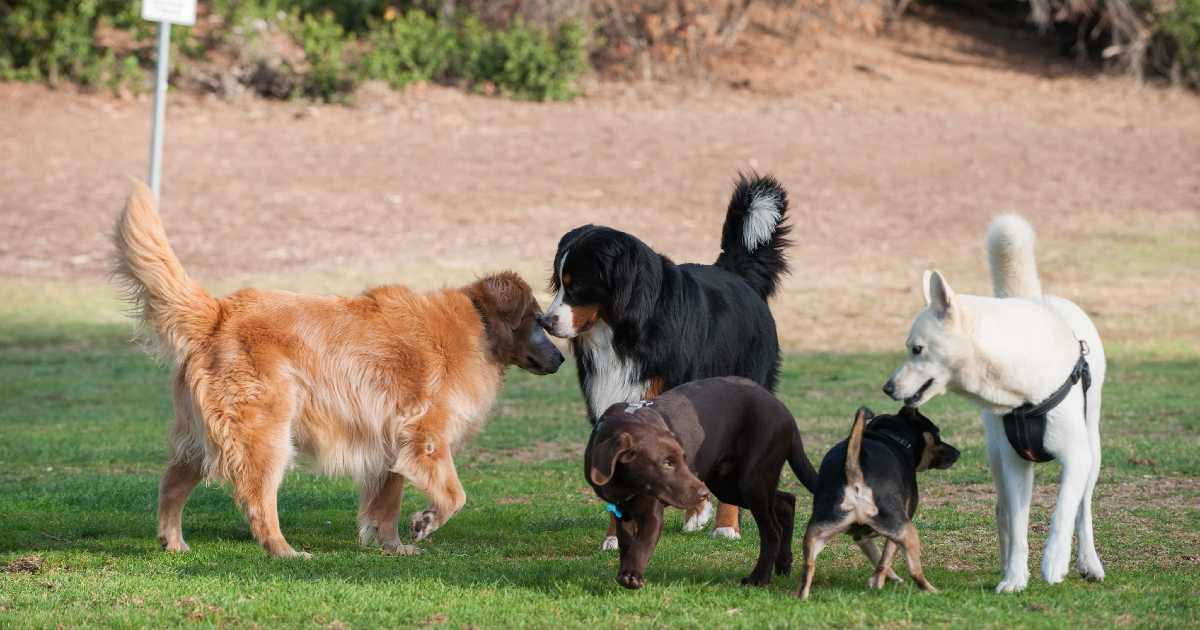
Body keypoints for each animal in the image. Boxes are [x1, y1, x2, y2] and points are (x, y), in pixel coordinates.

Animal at [112, 180, 561, 554]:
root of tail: (219, 313)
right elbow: (454, 495)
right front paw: (425, 522)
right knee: (258, 502)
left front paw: (393, 546)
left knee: (170, 486)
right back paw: (284, 550)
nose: (559, 359)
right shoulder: (427, 438)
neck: (480, 323)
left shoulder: (391, 442)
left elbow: (386, 504)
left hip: (199, 439)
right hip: (266, 436)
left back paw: (173, 542)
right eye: (539, 320)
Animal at [542, 174, 787, 547]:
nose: (544, 321)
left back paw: (725, 525)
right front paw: (616, 536)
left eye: (577, 285)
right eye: (558, 282)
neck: (624, 330)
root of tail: (736, 275)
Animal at [578, 376, 816, 588]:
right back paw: (784, 564)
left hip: (751, 482)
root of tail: (783, 410)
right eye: (666, 463)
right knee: (787, 502)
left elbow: (642, 545)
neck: (626, 484)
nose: (703, 494)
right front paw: (626, 571)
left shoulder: (652, 513)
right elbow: (628, 545)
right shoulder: (623, 511)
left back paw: (759, 578)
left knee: (772, 532)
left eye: (684, 458)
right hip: (731, 486)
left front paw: (632, 576)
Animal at [801, 405, 960, 597]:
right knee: (915, 571)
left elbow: (877, 557)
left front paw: (884, 579)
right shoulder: (899, 526)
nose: (958, 452)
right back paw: (932, 590)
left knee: (808, 567)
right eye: (937, 433)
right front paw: (881, 581)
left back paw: (802, 596)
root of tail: (854, 474)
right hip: (906, 529)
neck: (891, 435)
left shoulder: (860, 537)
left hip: (816, 532)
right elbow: (886, 558)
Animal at [883, 213, 1104, 592]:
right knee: (1004, 513)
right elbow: (1018, 526)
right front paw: (1015, 578)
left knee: (1083, 507)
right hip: (998, 458)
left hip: (1093, 450)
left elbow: (1063, 510)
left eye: (917, 349)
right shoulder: (1014, 464)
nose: (888, 388)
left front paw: (1054, 562)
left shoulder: (1076, 457)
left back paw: (1089, 562)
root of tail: (1035, 298)